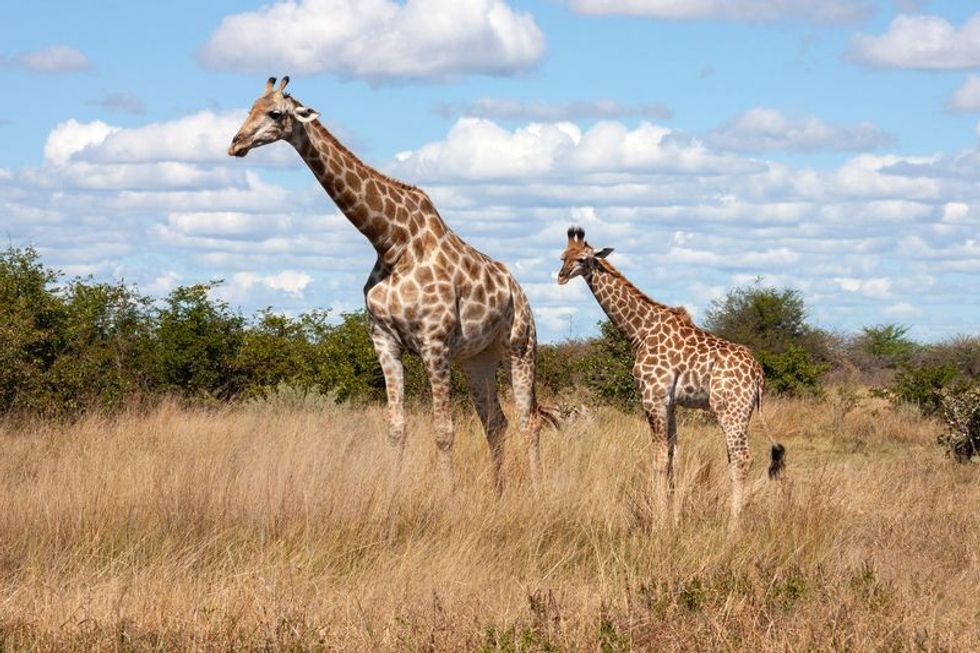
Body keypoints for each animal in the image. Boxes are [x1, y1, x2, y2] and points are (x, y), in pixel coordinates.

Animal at [227, 77, 556, 491]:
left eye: (274, 113)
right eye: (249, 107)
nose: (236, 143)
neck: (391, 243)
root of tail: (520, 292)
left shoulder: (434, 342)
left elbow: (444, 430)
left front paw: (447, 494)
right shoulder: (384, 339)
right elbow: (397, 427)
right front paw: (393, 491)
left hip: (521, 345)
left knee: (530, 421)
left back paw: (537, 489)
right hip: (476, 358)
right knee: (496, 422)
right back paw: (498, 492)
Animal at [557, 226, 784, 523]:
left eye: (583, 259)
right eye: (563, 256)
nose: (560, 276)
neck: (640, 332)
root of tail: (758, 374)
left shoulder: (652, 397)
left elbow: (659, 457)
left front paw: (659, 518)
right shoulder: (671, 403)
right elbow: (674, 454)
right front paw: (674, 514)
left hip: (729, 410)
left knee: (742, 458)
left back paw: (733, 523)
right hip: (740, 412)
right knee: (736, 457)